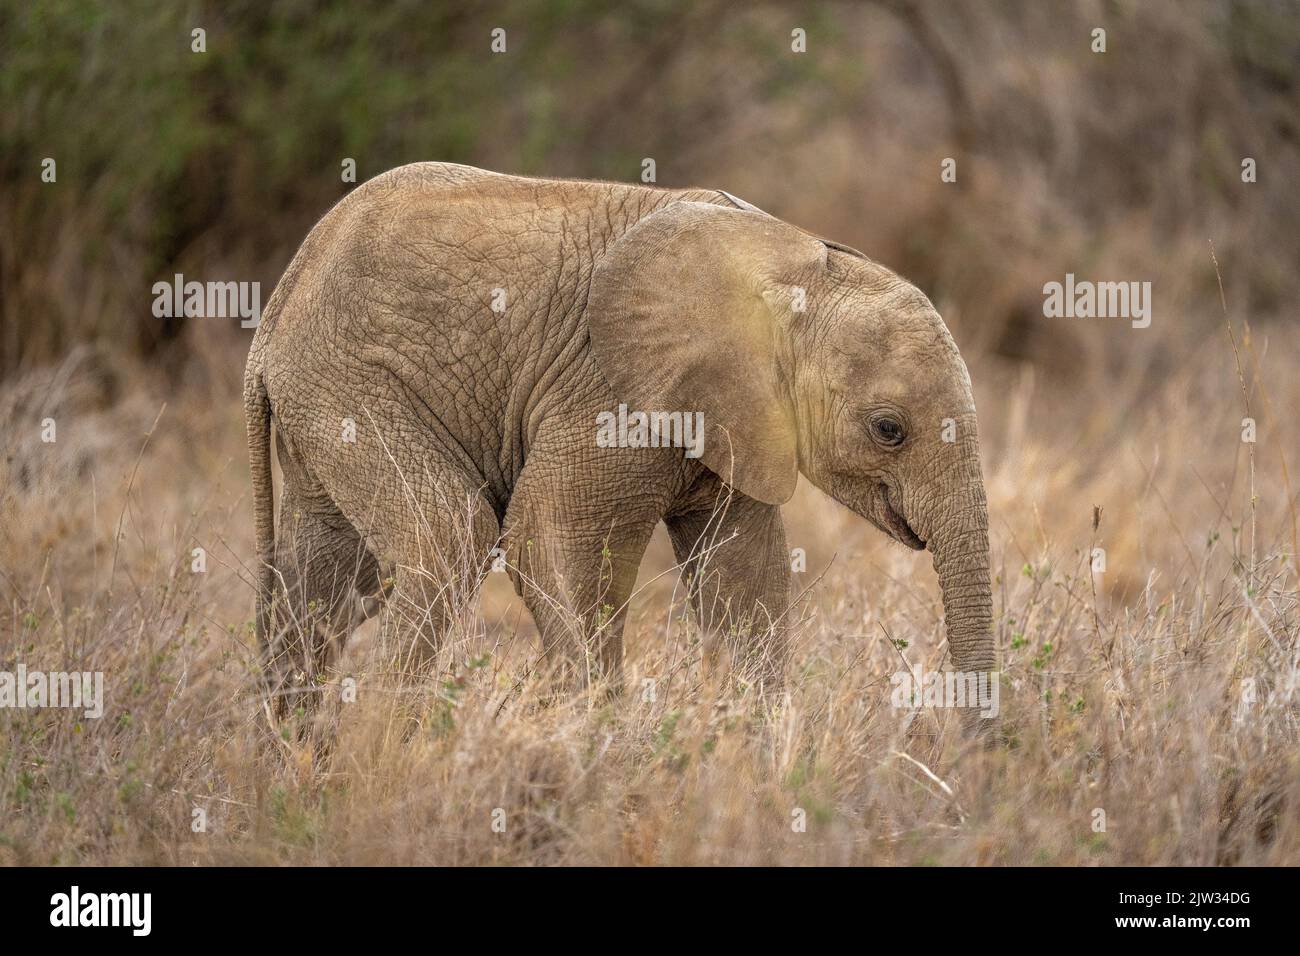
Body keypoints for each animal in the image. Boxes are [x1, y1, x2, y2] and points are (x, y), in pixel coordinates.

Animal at [243, 162, 997, 735]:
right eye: (888, 429)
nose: (969, 753)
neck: (800, 264)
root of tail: (279, 300)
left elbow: (745, 572)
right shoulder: (606, 389)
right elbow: (552, 538)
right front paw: (598, 745)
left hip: (323, 399)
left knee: (332, 578)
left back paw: (294, 763)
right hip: (349, 379)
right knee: (445, 535)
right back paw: (377, 753)